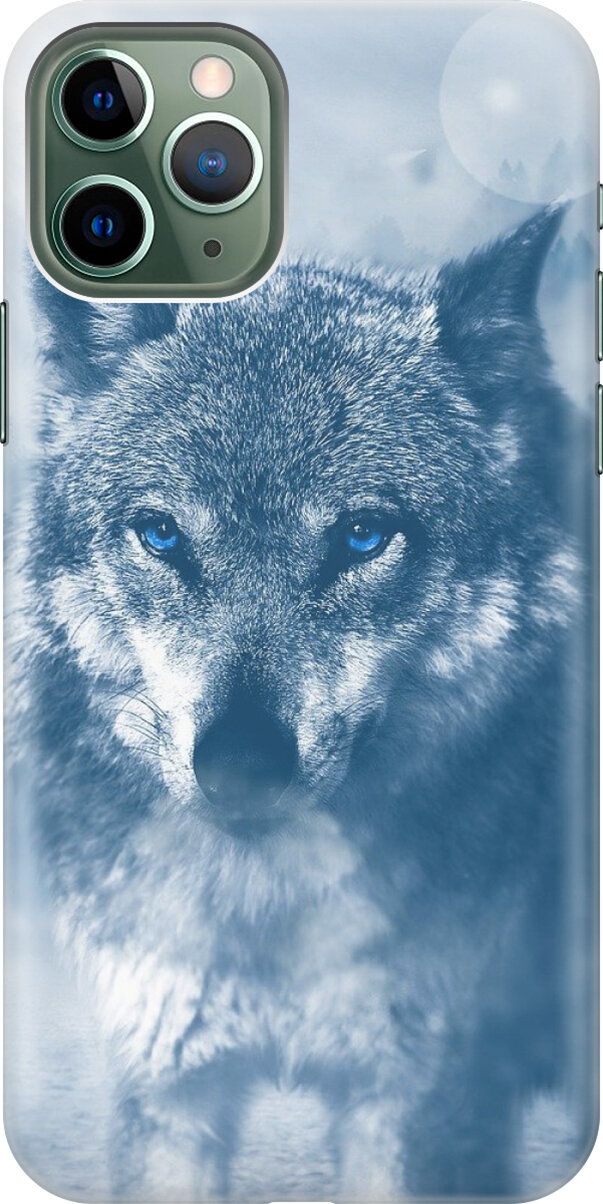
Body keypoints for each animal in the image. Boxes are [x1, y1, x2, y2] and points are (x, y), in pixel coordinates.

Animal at [8, 207, 591, 1201]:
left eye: (362, 536)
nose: (240, 766)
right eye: (160, 534)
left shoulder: (422, 1100)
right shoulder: (170, 1086)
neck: (266, 916)